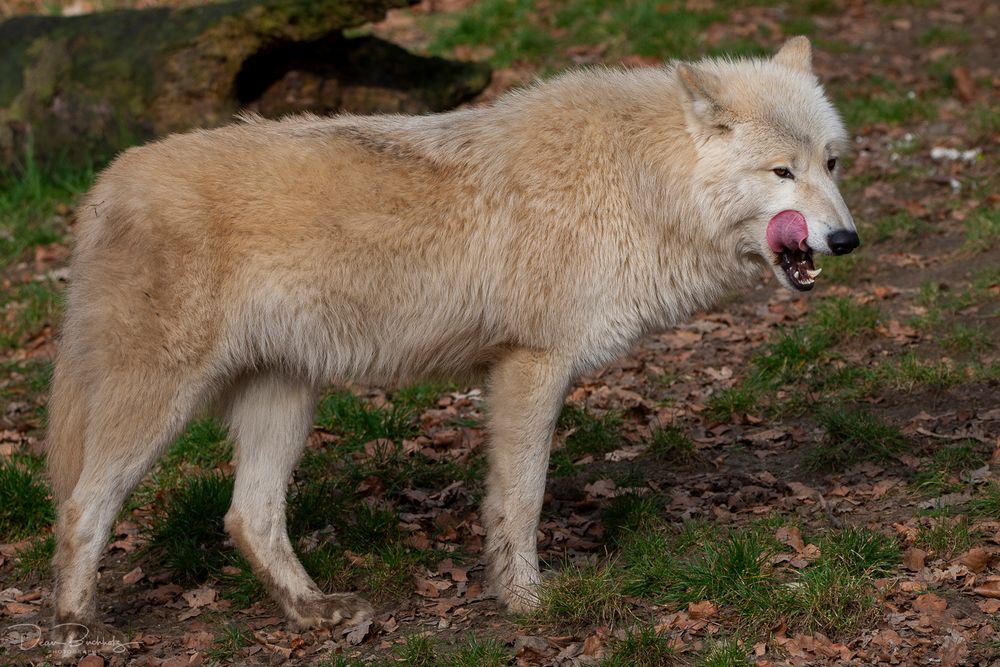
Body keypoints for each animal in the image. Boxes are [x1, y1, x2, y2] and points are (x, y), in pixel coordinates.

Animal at [45, 36, 857, 653]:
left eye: (831, 163)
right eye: (780, 171)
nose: (845, 239)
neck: (637, 181)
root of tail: (102, 187)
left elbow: (506, 500)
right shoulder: (533, 365)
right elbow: (521, 499)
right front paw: (528, 602)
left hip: (285, 399)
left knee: (248, 517)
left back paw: (314, 613)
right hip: (159, 405)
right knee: (84, 505)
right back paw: (81, 625)